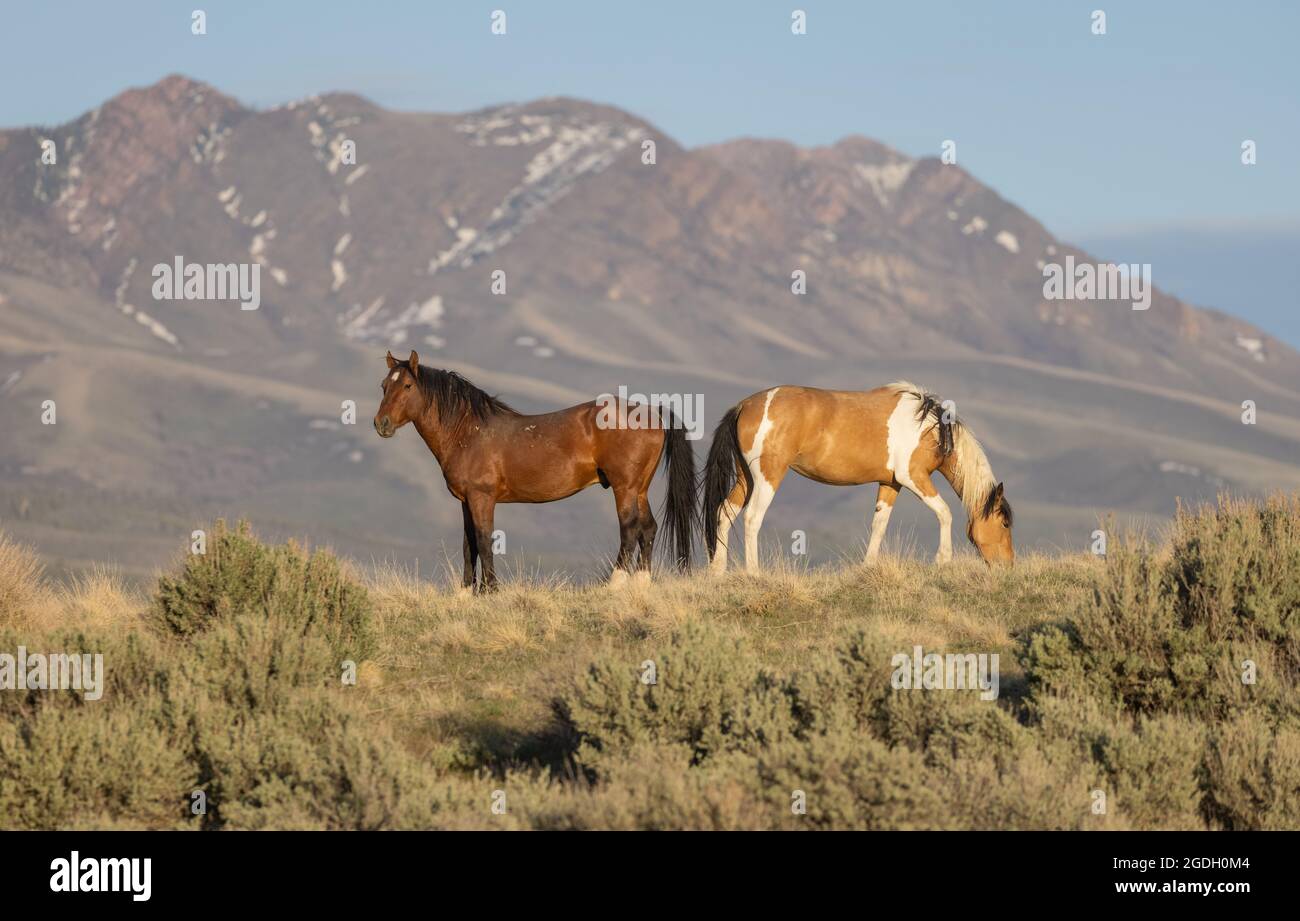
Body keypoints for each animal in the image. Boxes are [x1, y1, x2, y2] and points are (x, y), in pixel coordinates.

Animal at [373, 351, 696, 591]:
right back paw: (641, 583)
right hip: (639, 488)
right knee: (648, 528)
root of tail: (652, 411)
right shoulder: (466, 501)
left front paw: (490, 591)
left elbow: (484, 540)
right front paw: (466, 593)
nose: (381, 424)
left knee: (629, 528)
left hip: (625, 488)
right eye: (384, 385)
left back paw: (614, 584)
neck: (468, 431)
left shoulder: (482, 498)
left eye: (407, 386)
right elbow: (469, 544)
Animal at [702, 382, 1014, 571]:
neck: (930, 429)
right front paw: (943, 560)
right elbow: (945, 512)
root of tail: (744, 406)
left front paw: (868, 566)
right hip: (768, 476)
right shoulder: (913, 477)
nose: (1008, 566)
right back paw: (754, 573)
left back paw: (718, 572)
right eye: (1004, 523)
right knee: (752, 518)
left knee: (725, 512)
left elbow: (879, 524)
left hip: (746, 478)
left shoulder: (891, 483)